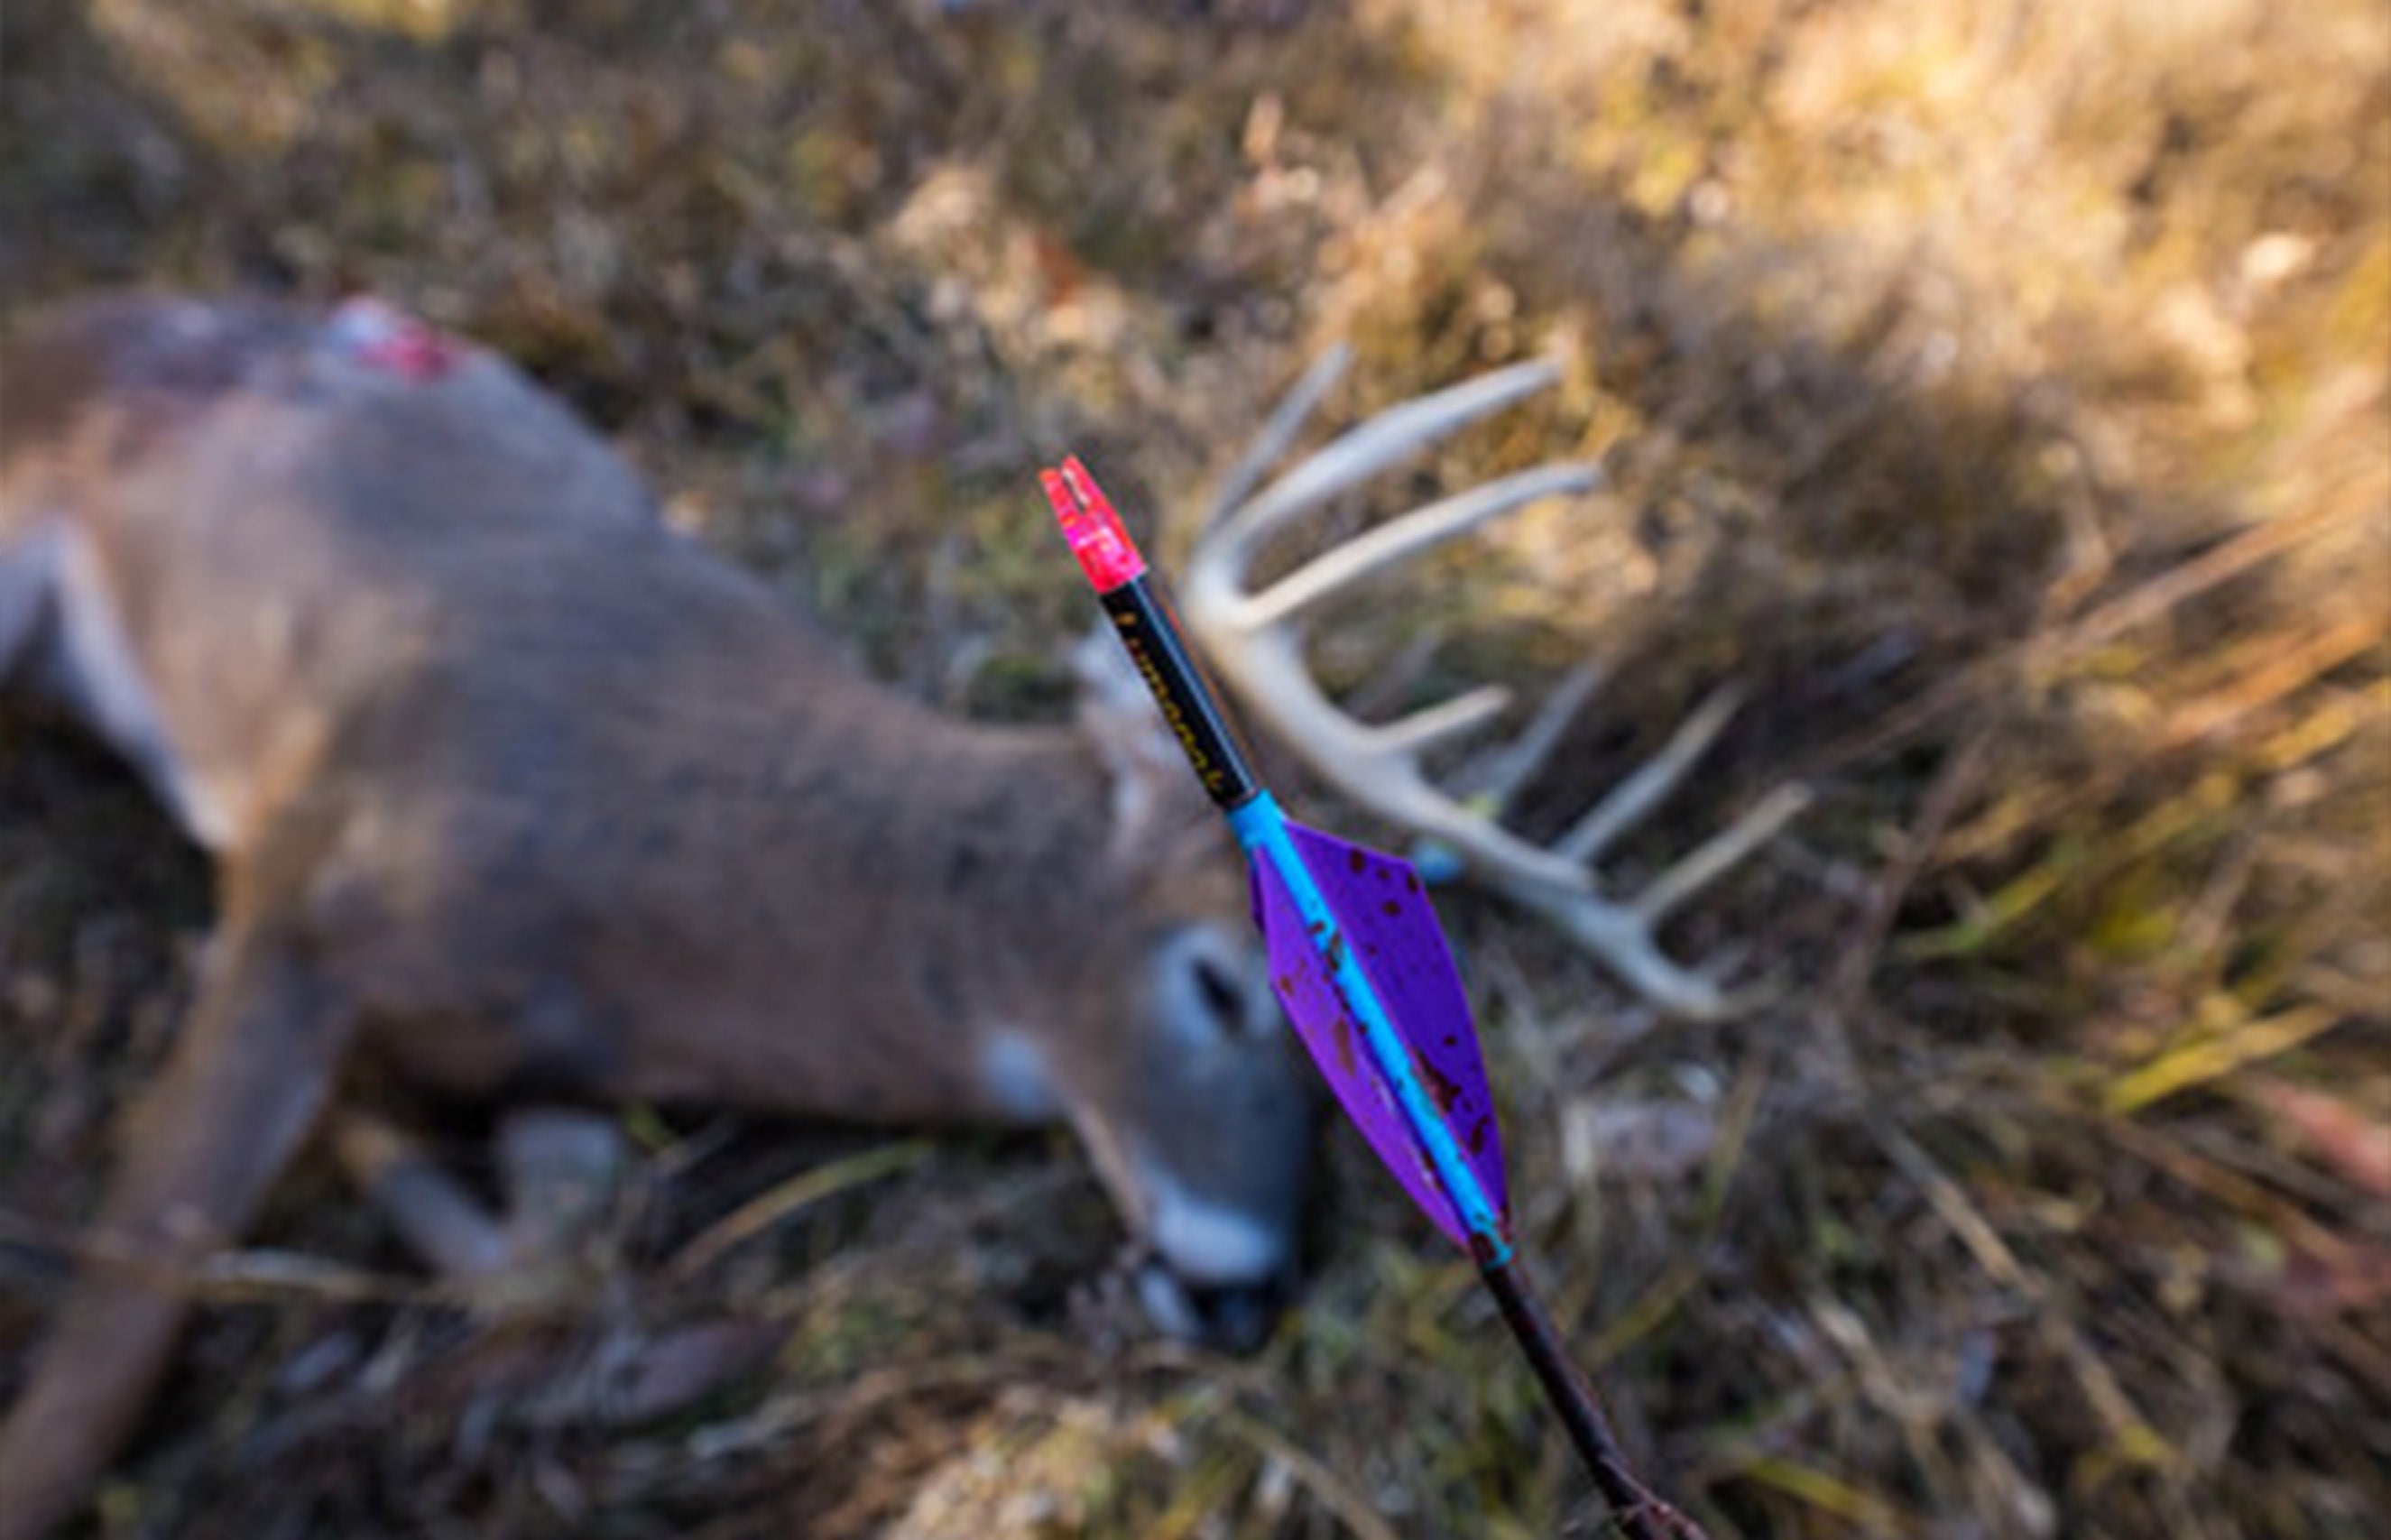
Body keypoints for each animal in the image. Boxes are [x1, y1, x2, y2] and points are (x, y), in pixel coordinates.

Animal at [0, 294, 1801, 1538]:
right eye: (1228, 982)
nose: (1242, 1287)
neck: (639, 885)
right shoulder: (298, 889)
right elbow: (94, 1368)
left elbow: (553, 1253)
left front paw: (392, 1152)